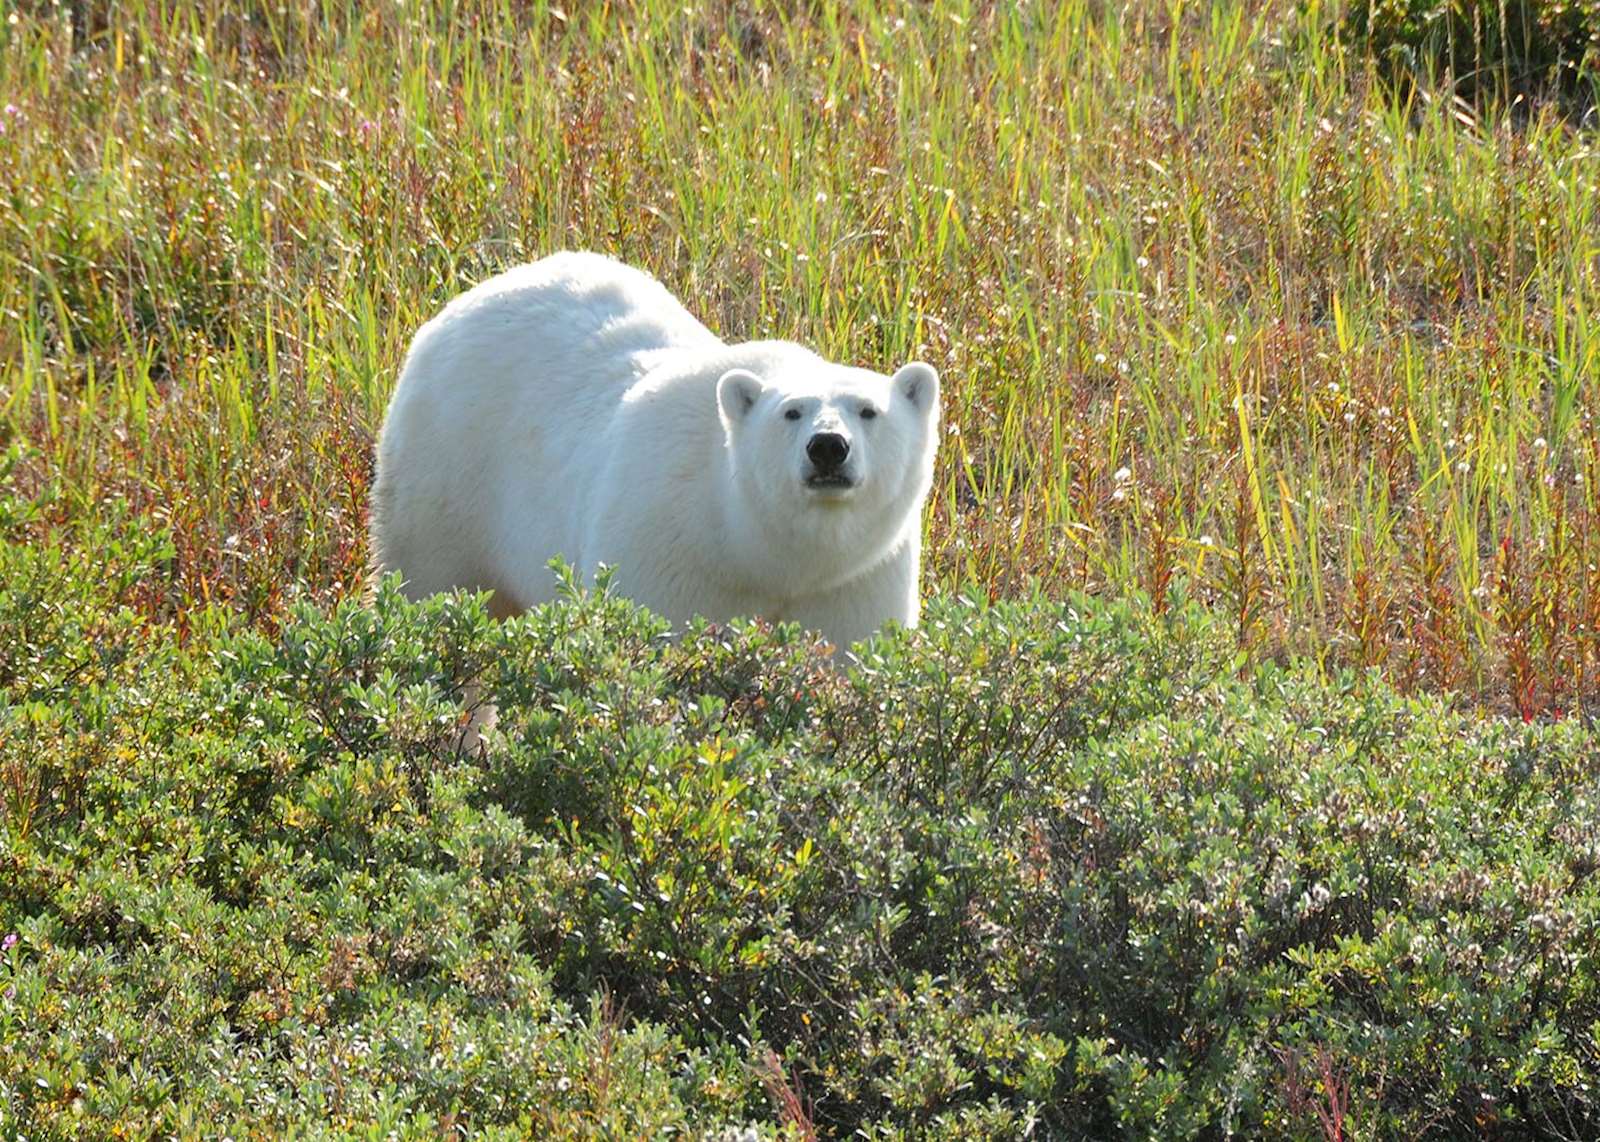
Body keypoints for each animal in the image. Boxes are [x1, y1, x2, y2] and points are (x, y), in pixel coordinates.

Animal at [369, 251, 942, 655]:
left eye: (868, 410)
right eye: (792, 412)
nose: (828, 448)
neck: (756, 552)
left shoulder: (856, 581)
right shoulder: (670, 550)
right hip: (449, 476)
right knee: (433, 590)